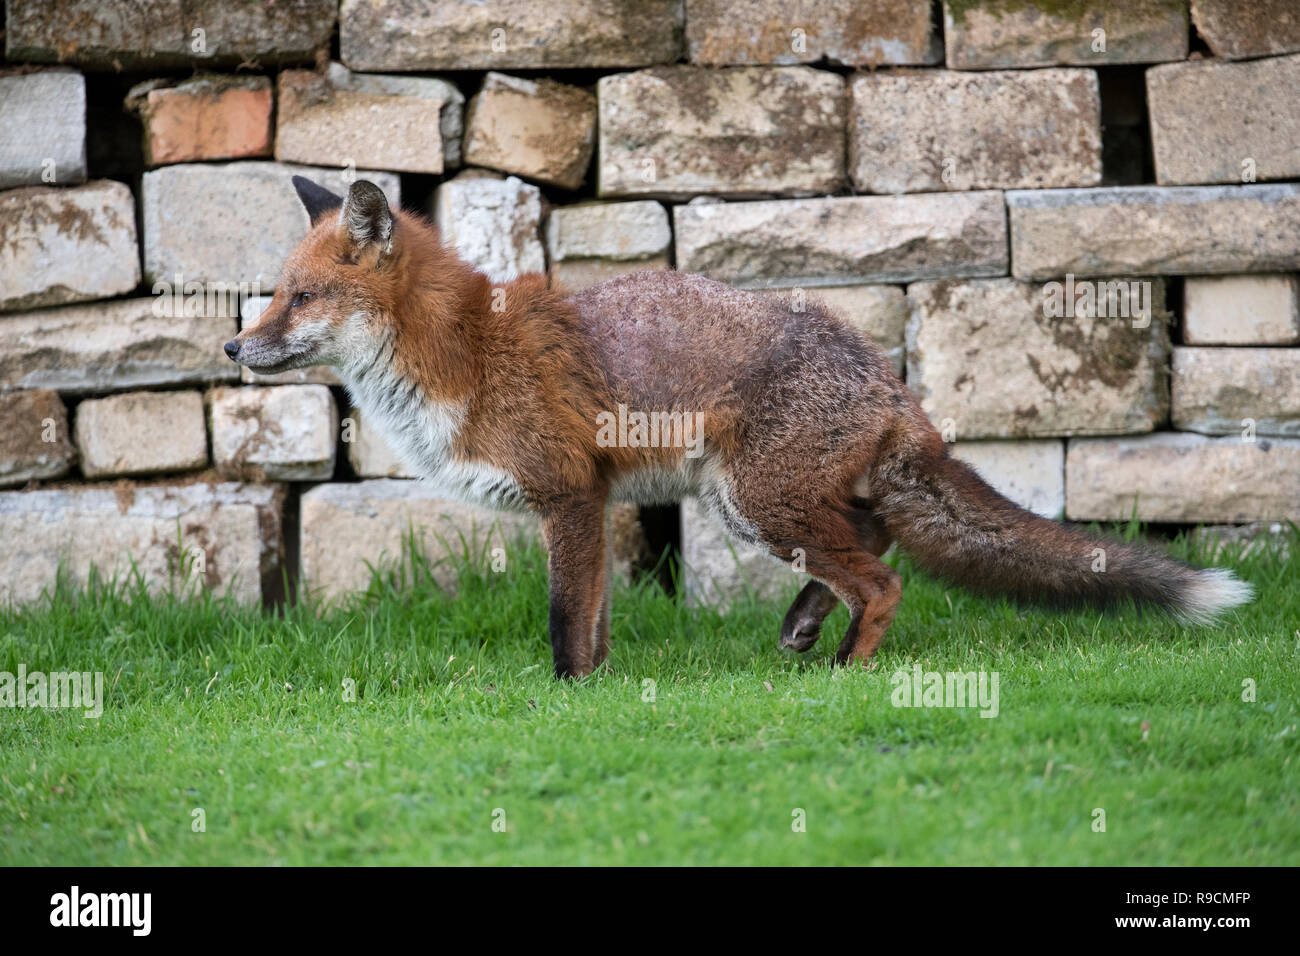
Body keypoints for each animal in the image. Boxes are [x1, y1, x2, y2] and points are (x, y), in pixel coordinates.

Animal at [224, 177, 1254, 679]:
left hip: (756, 501)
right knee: (874, 540)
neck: (466, 355)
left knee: (881, 575)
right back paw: (804, 630)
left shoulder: (568, 496)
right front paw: (603, 692)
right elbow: (597, 622)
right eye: (274, 293)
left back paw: (844, 669)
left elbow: (564, 623)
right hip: (754, 504)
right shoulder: (599, 503)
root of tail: (888, 375)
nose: (235, 345)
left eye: (300, 298)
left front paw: (565, 700)